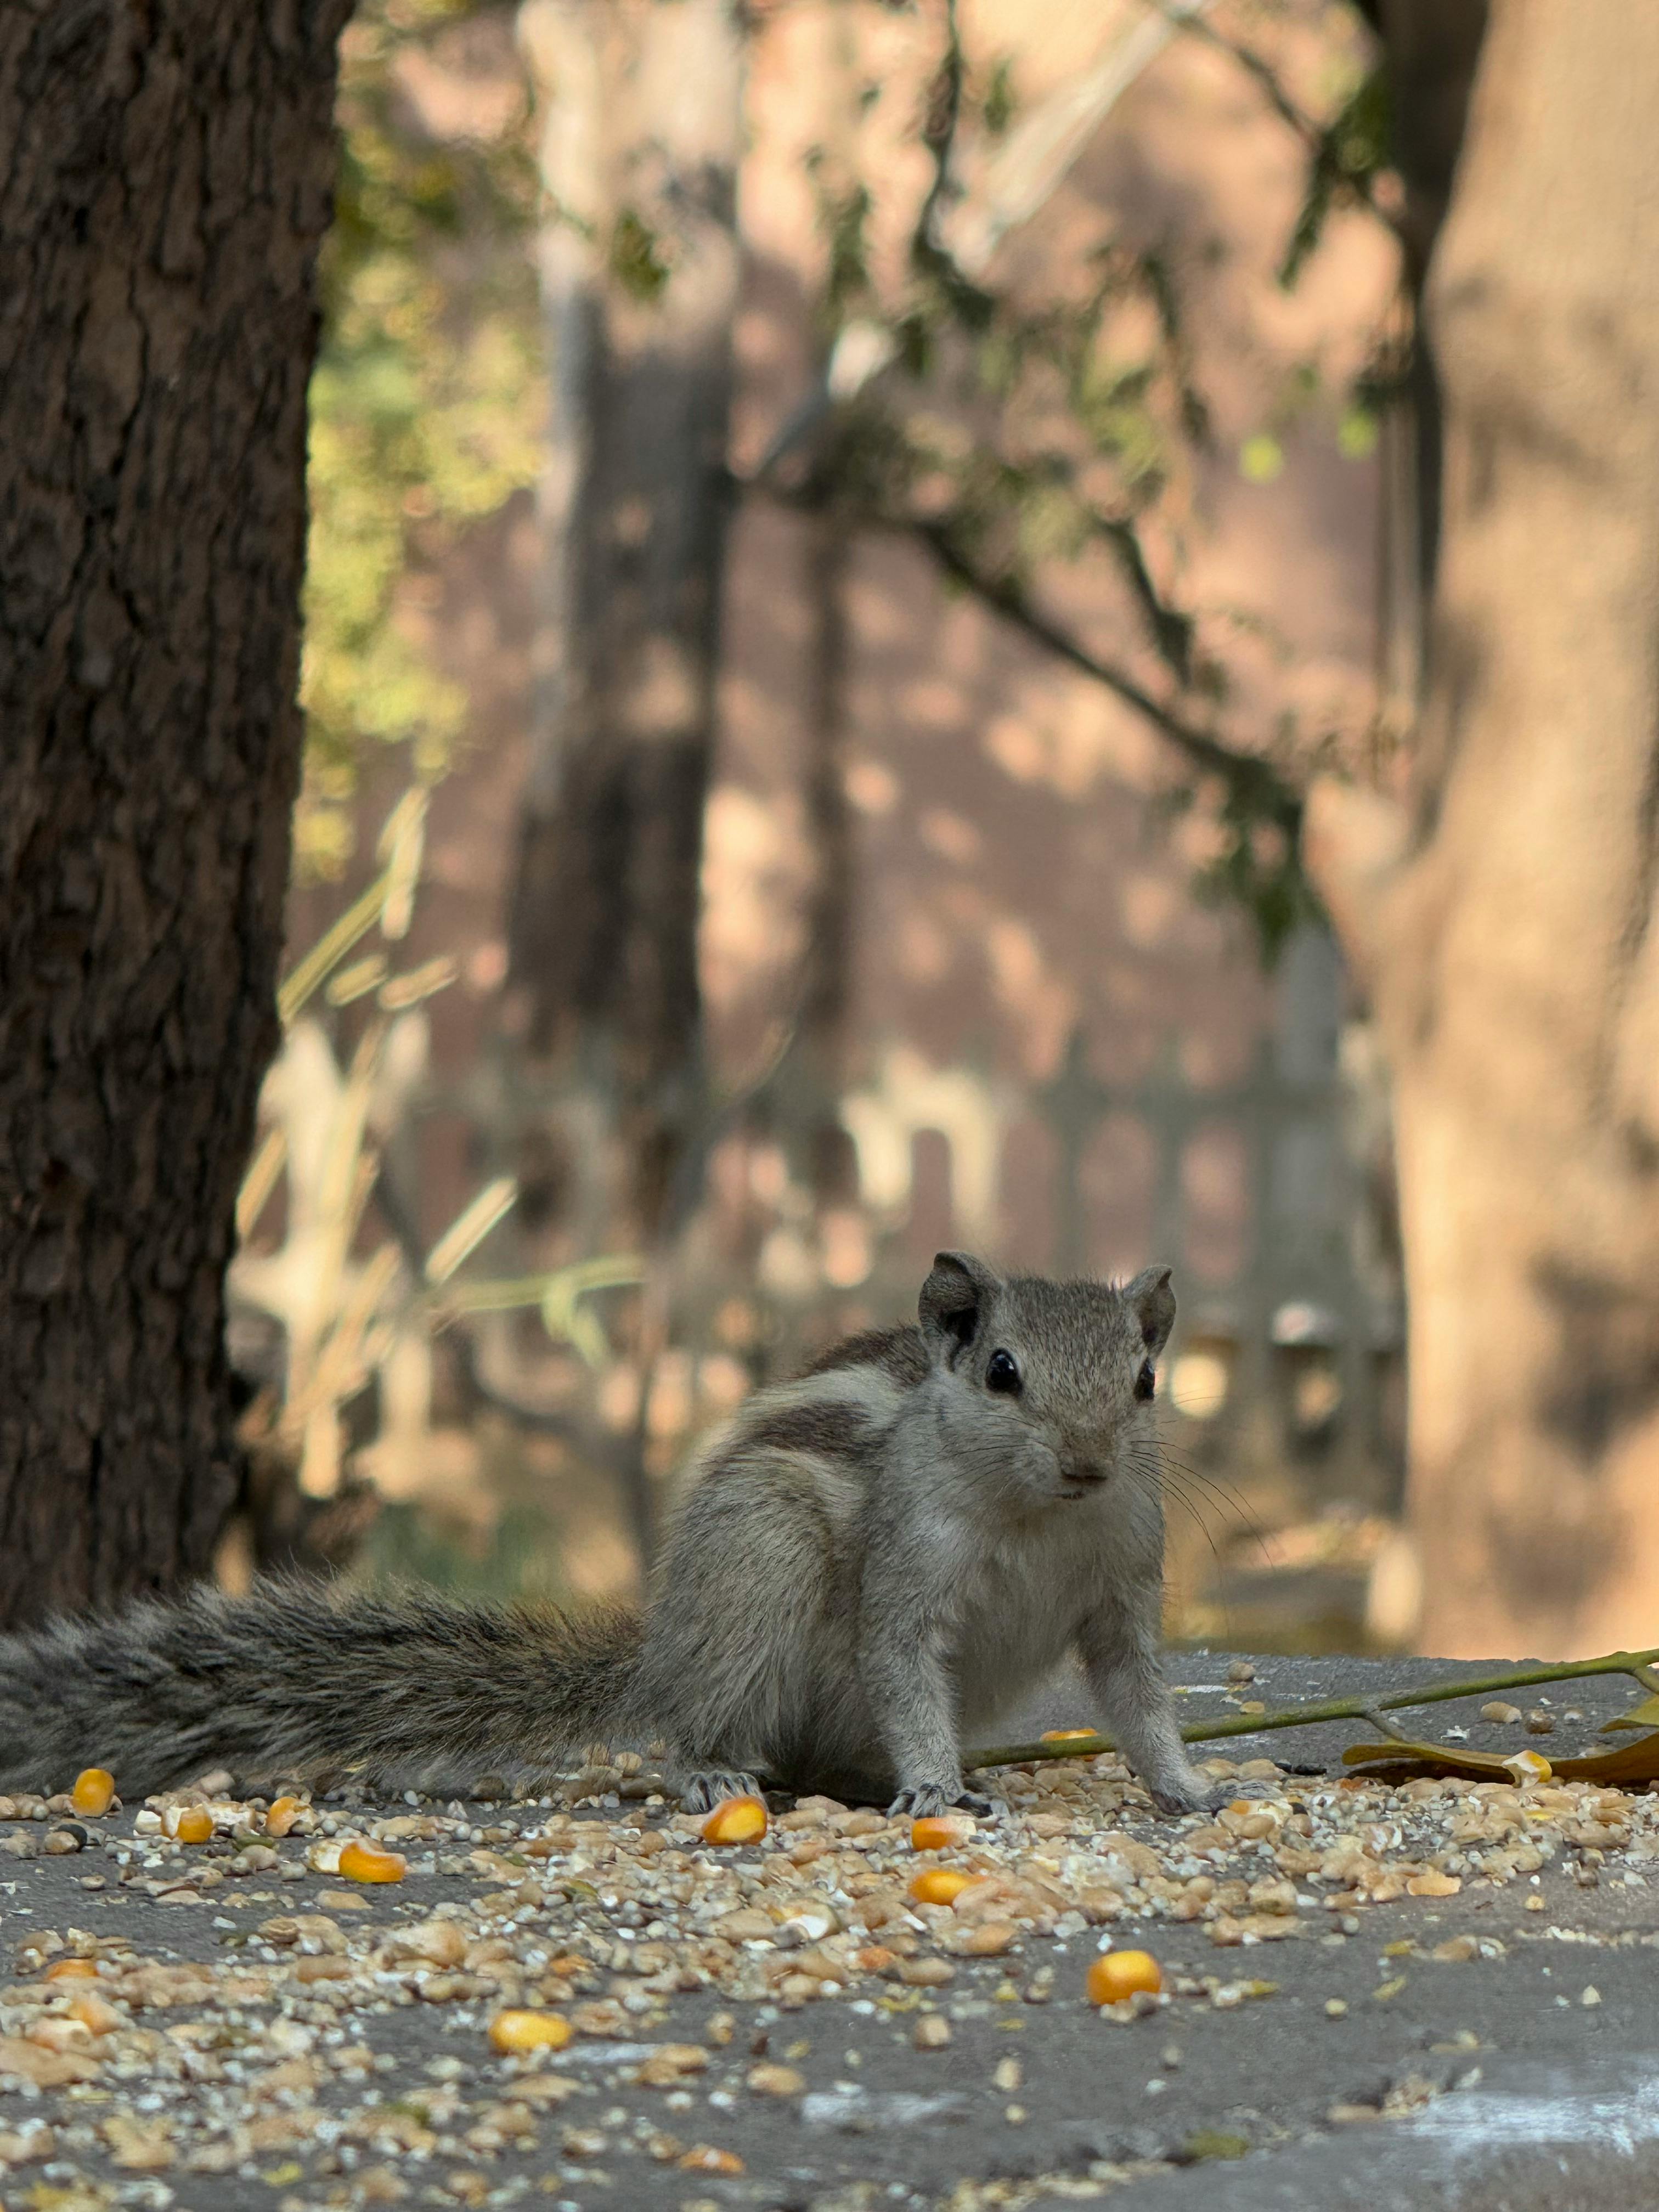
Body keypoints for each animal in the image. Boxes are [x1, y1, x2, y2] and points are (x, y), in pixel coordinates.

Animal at [0, 1252, 1214, 1819]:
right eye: (1002, 1372)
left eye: (1144, 1380)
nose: (1089, 1461)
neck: (1044, 1519)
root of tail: (661, 1650)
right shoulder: (907, 1574)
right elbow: (903, 1670)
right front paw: (932, 1786)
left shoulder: (1122, 1586)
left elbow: (1137, 1694)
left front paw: (1186, 1786)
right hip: (762, 1559)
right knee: (705, 1729)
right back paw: (718, 1773)